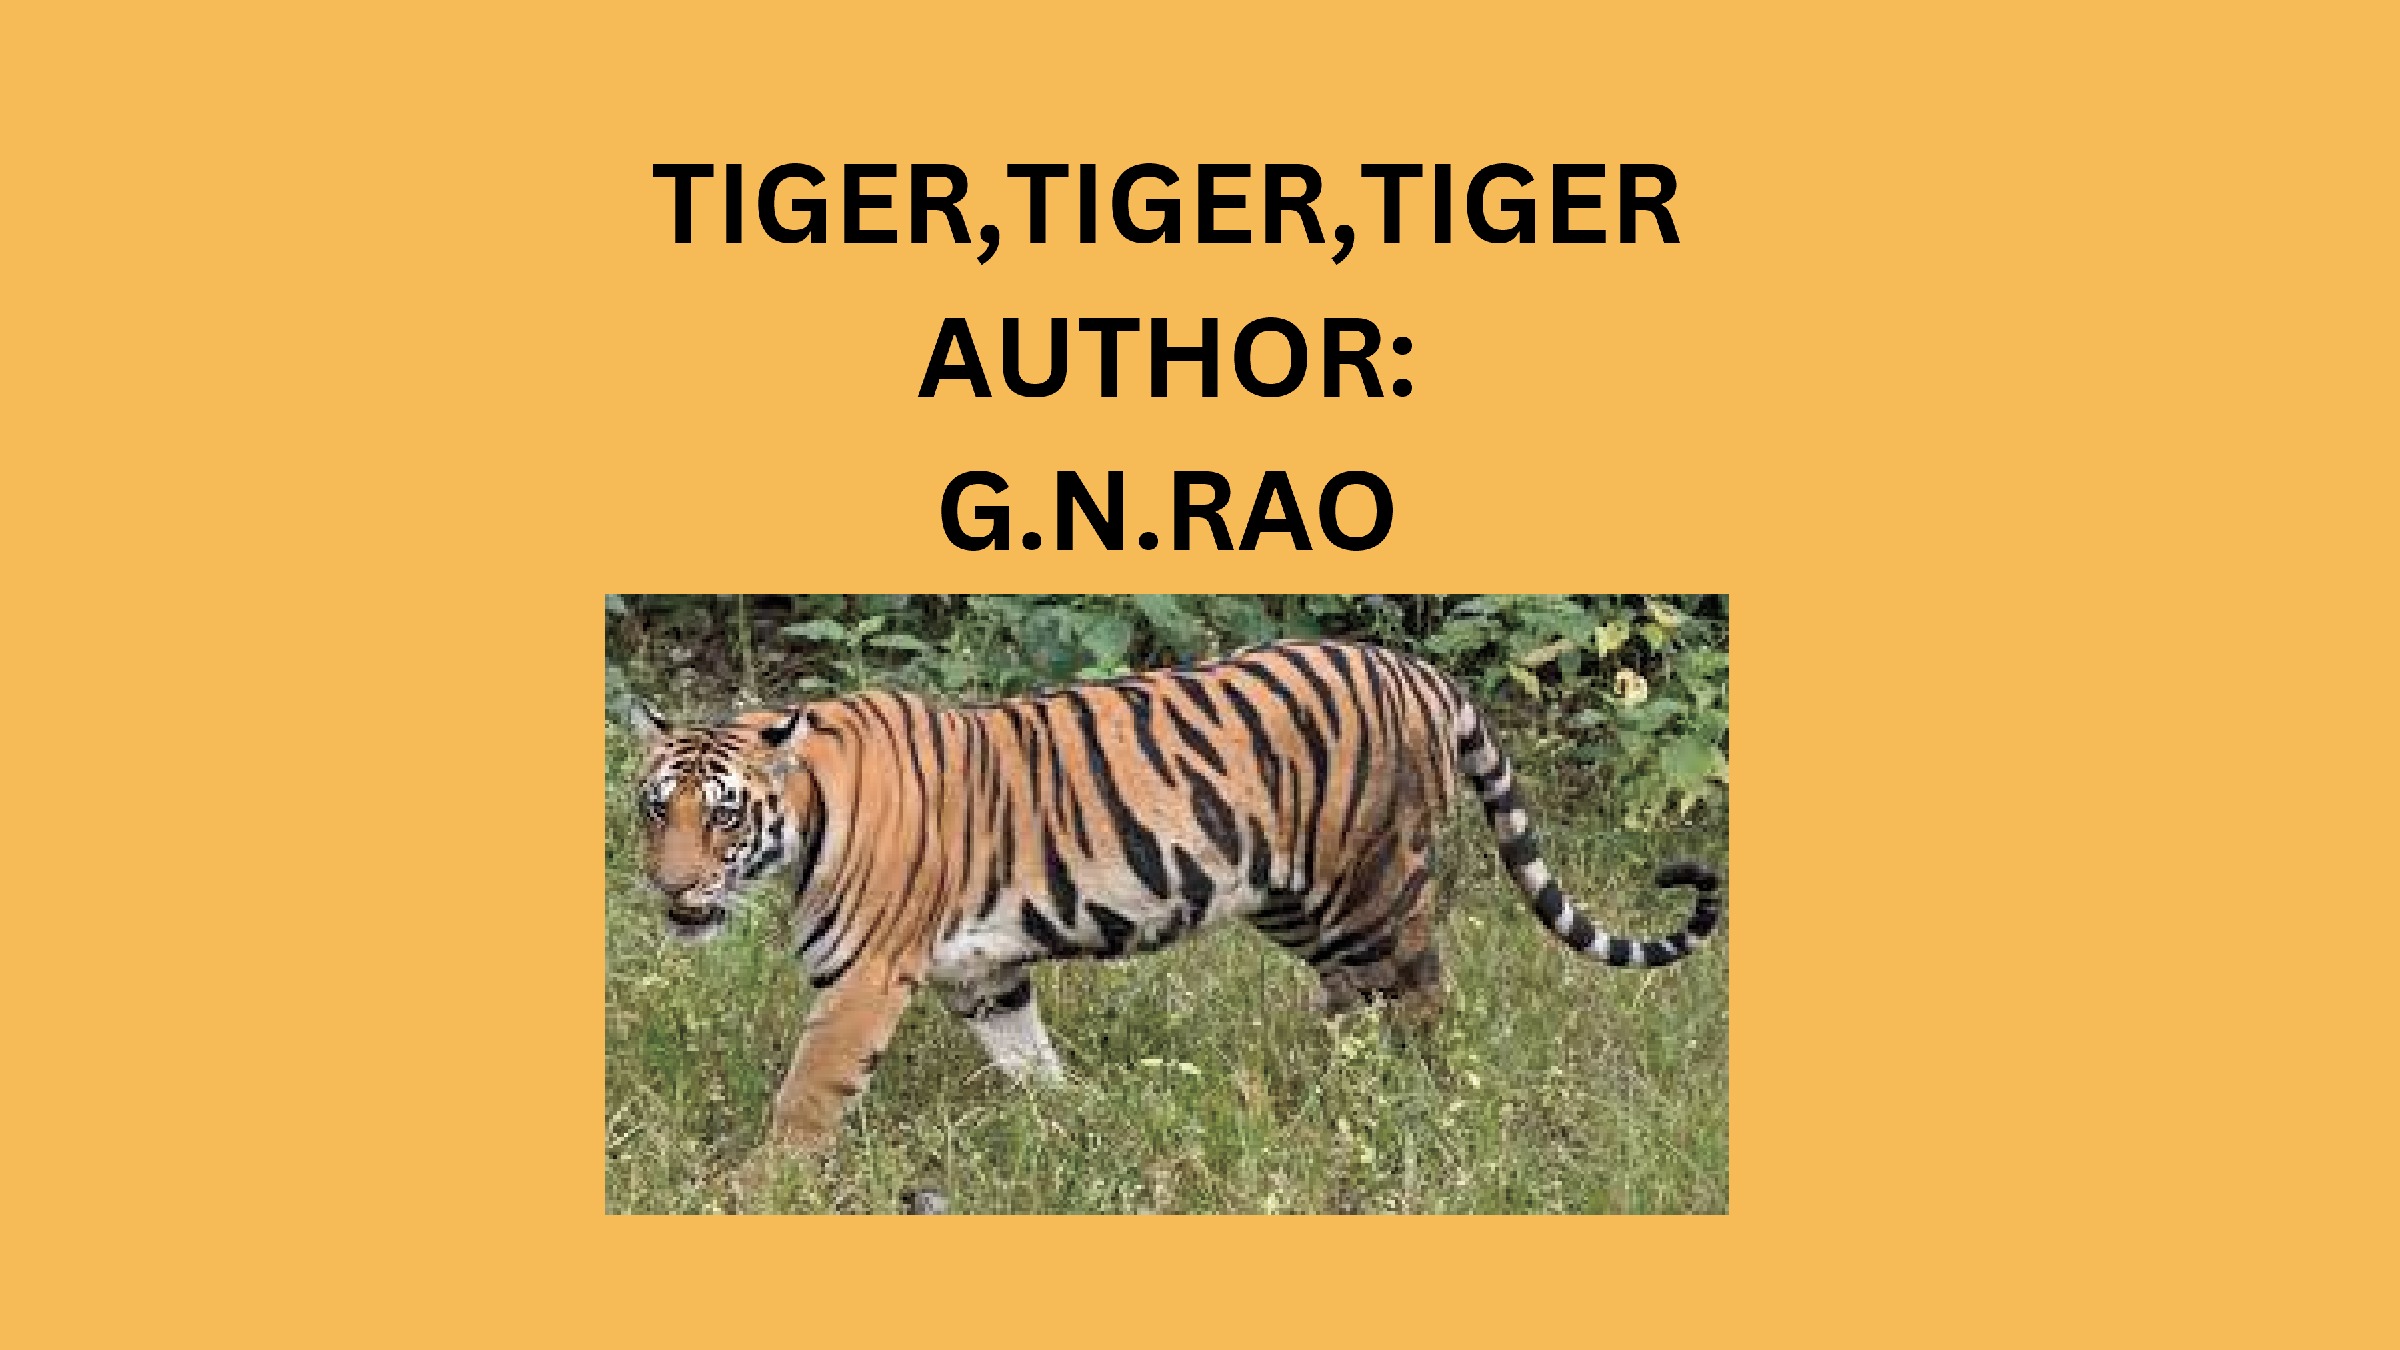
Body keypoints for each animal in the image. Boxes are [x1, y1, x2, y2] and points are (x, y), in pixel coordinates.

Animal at [626, 637, 1724, 1161]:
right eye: (652, 808)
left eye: (722, 816)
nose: (670, 888)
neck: (804, 818)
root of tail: (1420, 669)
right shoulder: (986, 974)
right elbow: (1029, 1060)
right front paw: (1073, 1122)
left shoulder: (861, 979)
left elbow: (808, 1092)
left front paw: (764, 1187)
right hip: (1298, 900)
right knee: (1354, 1000)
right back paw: (1323, 1088)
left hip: (1373, 886)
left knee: (1421, 998)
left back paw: (1416, 1100)